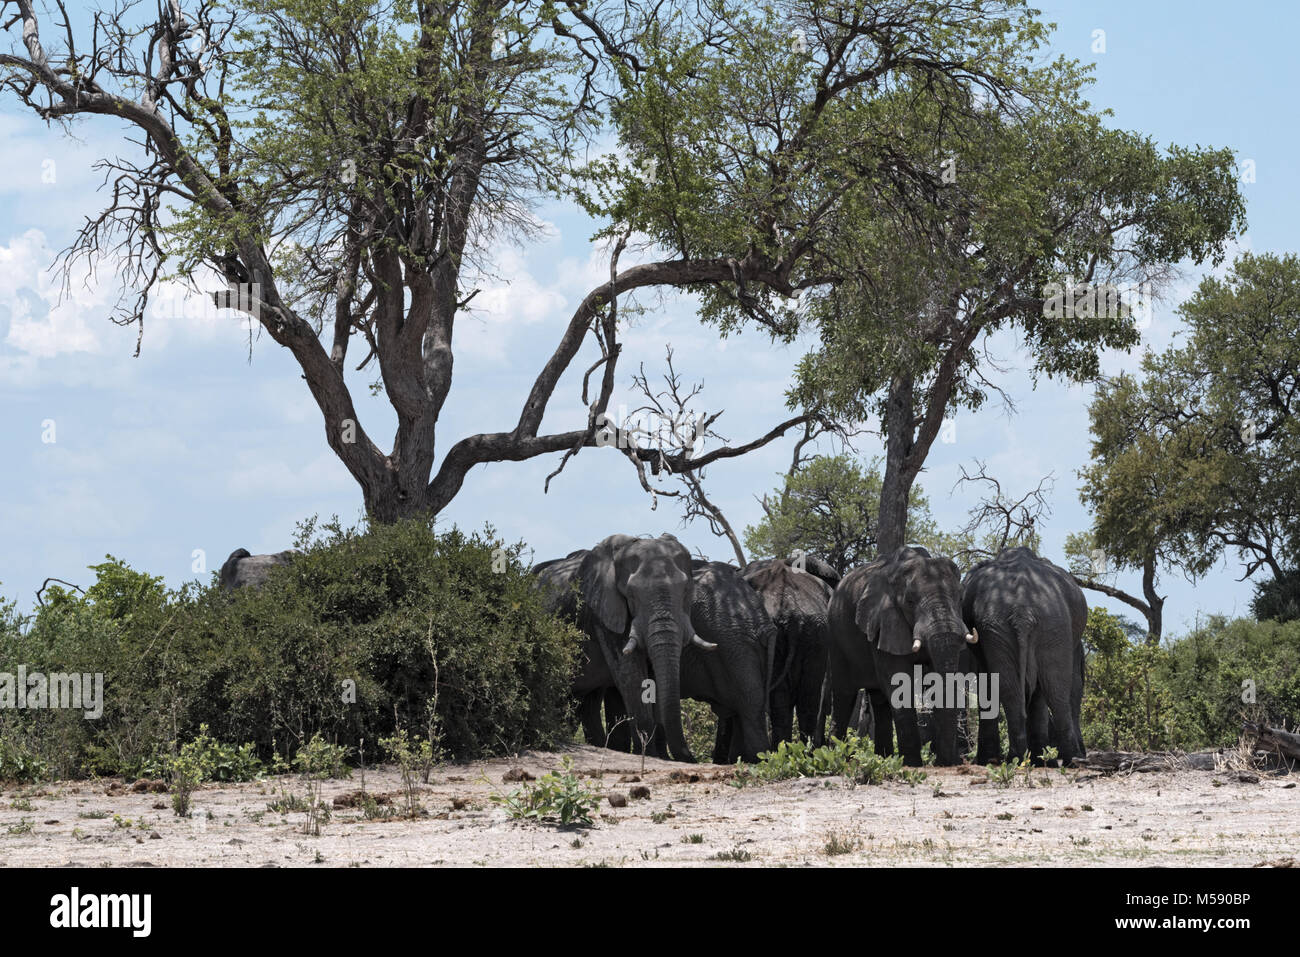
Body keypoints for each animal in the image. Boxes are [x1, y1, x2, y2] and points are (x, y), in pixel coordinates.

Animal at [741, 556, 835, 746]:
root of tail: (792, 615)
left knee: (782, 703)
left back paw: (783, 748)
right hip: (816, 633)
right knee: (807, 699)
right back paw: (803, 749)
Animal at [825, 545, 978, 766]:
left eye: (959, 598)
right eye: (910, 602)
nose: (947, 762)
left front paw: (945, 761)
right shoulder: (884, 620)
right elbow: (898, 680)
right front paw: (913, 763)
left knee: (879, 700)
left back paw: (884, 757)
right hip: (836, 635)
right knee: (844, 694)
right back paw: (835, 755)